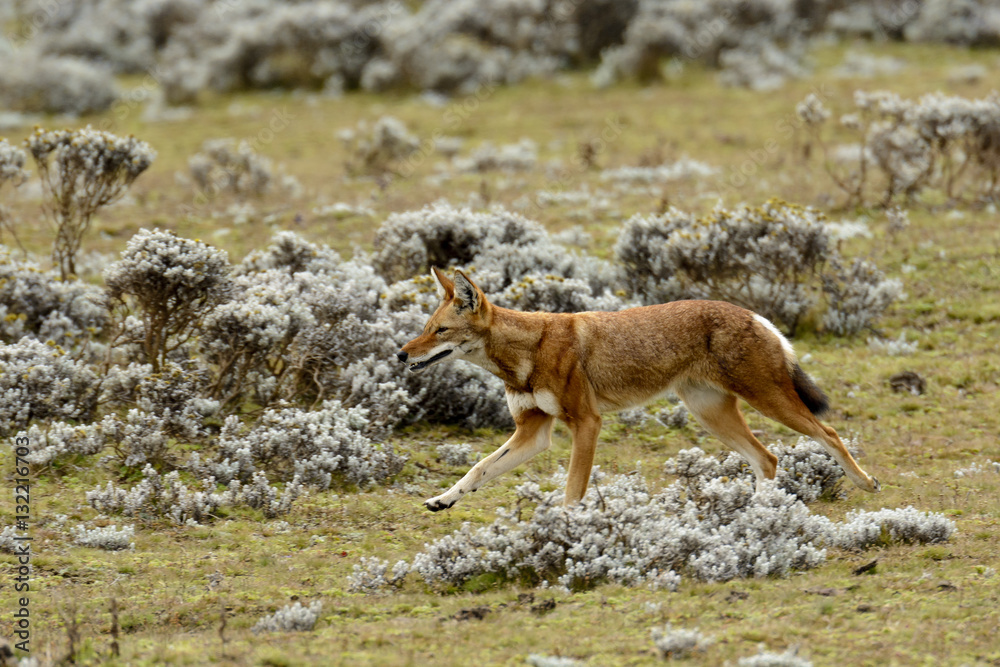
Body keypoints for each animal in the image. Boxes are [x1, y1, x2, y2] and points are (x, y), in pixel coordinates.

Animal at [398, 268, 880, 512]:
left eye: (439, 331)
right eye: (425, 328)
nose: (401, 354)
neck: (527, 352)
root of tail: (753, 314)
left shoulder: (586, 424)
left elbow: (572, 492)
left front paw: (564, 529)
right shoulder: (534, 433)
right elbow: (478, 469)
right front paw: (443, 499)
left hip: (770, 404)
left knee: (828, 434)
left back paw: (865, 482)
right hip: (713, 416)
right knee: (768, 458)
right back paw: (758, 519)